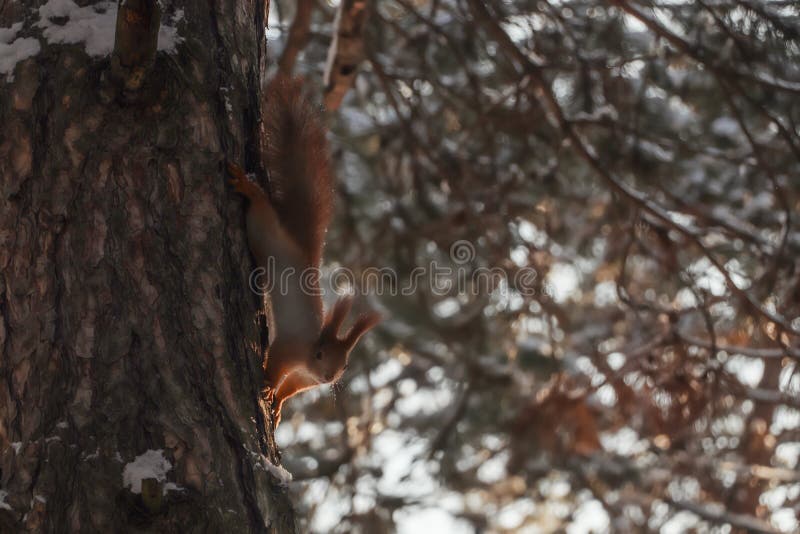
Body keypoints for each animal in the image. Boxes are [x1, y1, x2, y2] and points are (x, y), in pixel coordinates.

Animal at [228, 75, 380, 426]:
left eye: (345, 364)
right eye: (322, 354)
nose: (328, 379)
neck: (309, 356)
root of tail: (300, 245)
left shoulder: (303, 379)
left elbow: (291, 389)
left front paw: (278, 405)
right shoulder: (289, 349)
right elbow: (275, 365)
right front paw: (268, 385)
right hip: (263, 229)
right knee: (260, 206)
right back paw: (247, 186)